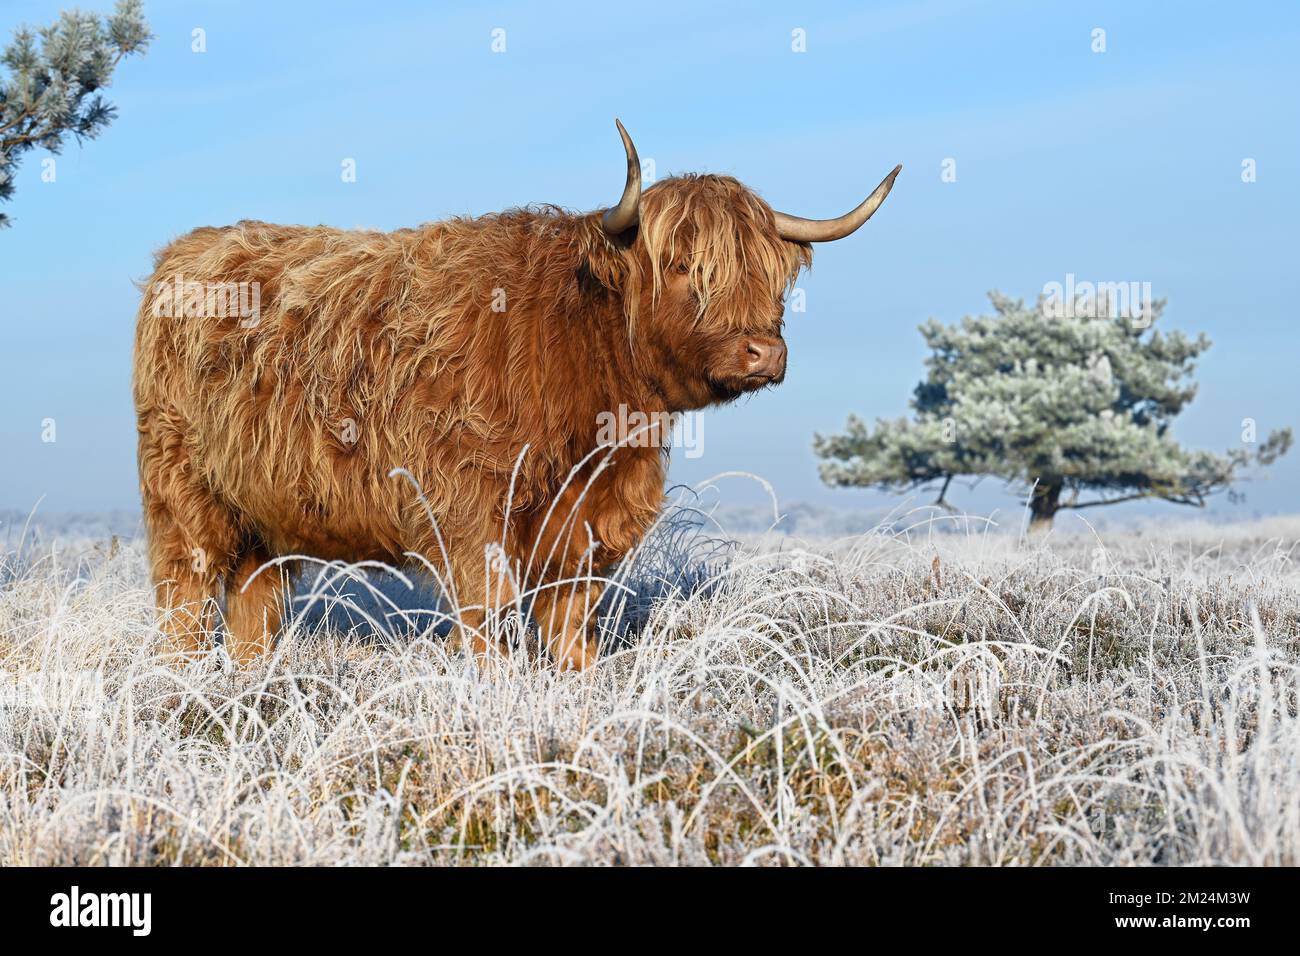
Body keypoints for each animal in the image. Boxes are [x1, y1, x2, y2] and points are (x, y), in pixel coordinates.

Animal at [133, 121, 899, 670]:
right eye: (685, 266)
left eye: (772, 273)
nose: (764, 352)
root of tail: (186, 252)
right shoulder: (473, 512)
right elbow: (491, 626)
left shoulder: (585, 525)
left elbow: (571, 630)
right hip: (184, 498)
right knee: (185, 600)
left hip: (263, 515)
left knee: (252, 608)